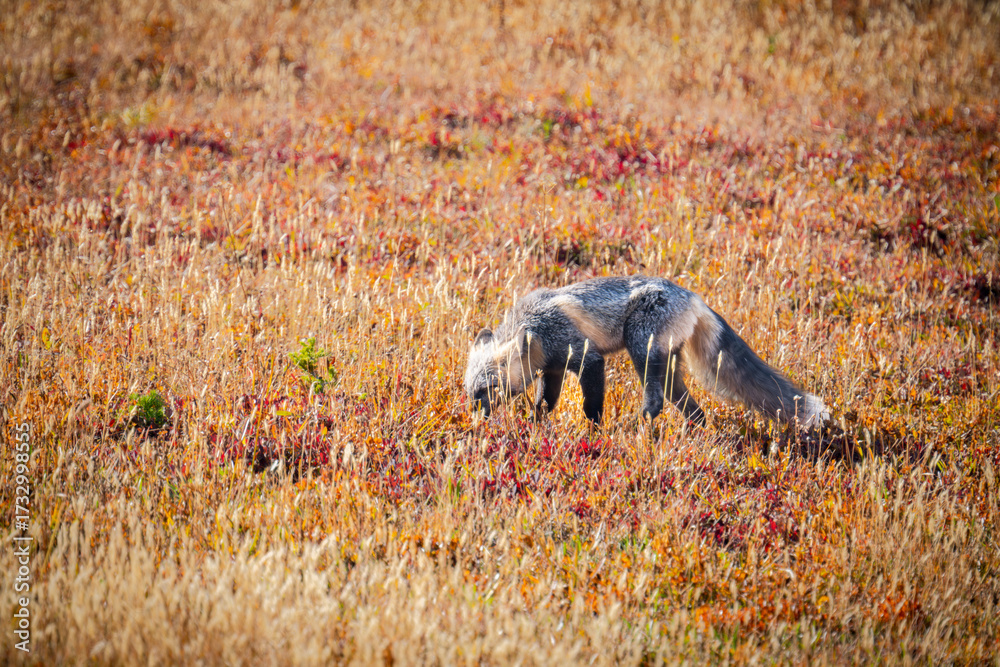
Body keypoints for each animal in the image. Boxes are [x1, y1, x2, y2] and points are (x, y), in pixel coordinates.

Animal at [464, 275, 828, 428]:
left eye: (488, 390)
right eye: (470, 392)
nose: (476, 419)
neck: (536, 325)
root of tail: (693, 296)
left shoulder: (588, 359)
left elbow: (591, 406)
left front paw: (593, 435)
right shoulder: (552, 367)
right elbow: (544, 403)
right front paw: (534, 427)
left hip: (643, 352)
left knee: (655, 404)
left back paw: (642, 432)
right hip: (669, 371)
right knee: (694, 411)